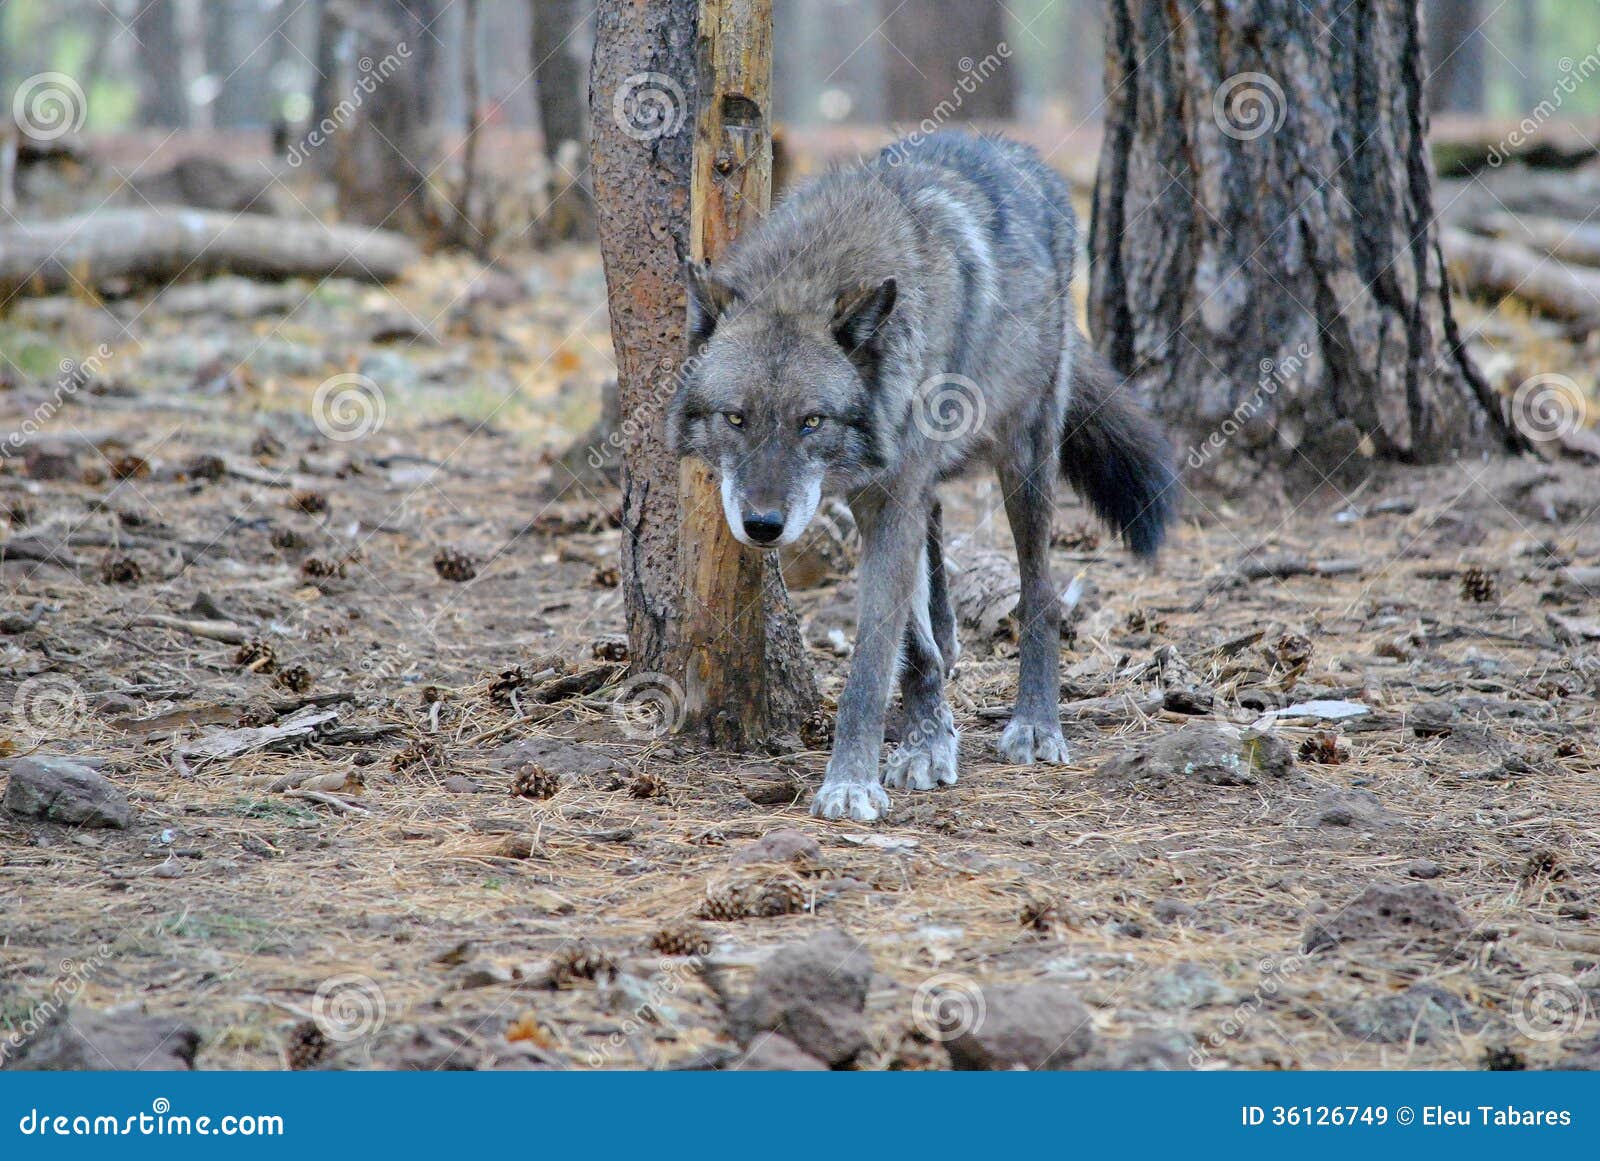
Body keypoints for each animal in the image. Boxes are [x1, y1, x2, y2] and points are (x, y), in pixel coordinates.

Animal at [667, 131, 1175, 822]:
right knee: (938, 580)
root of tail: (1017, 152)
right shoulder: (877, 500)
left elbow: (871, 662)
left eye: (811, 421)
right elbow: (912, 646)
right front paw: (927, 741)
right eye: (736, 418)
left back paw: (1037, 723)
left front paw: (853, 781)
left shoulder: (892, 499)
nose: (763, 526)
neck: (817, 267)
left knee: (1041, 595)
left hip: (1025, 462)